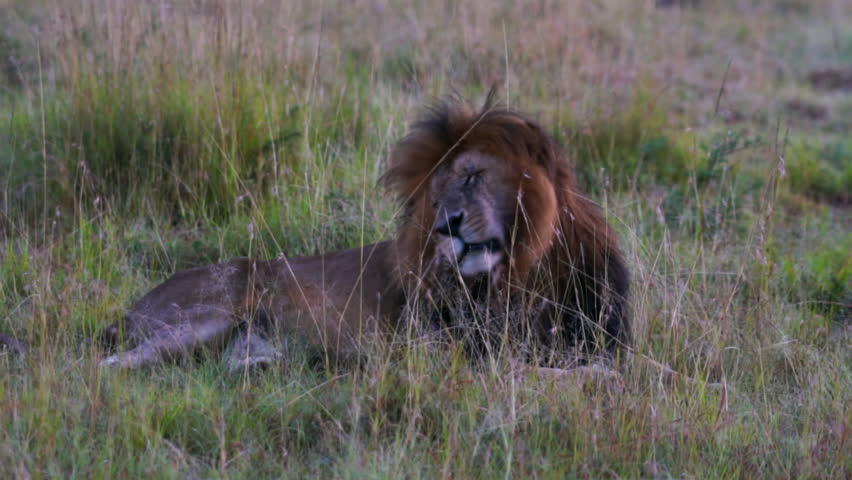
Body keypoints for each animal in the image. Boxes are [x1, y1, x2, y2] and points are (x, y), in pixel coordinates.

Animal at [95, 93, 629, 370]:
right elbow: (585, 375)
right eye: (435, 198)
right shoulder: (462, 356)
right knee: (106, 365)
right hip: (204, 316)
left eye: (472, 175)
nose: (446, 226)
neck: (525, 273)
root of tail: (132, 307)